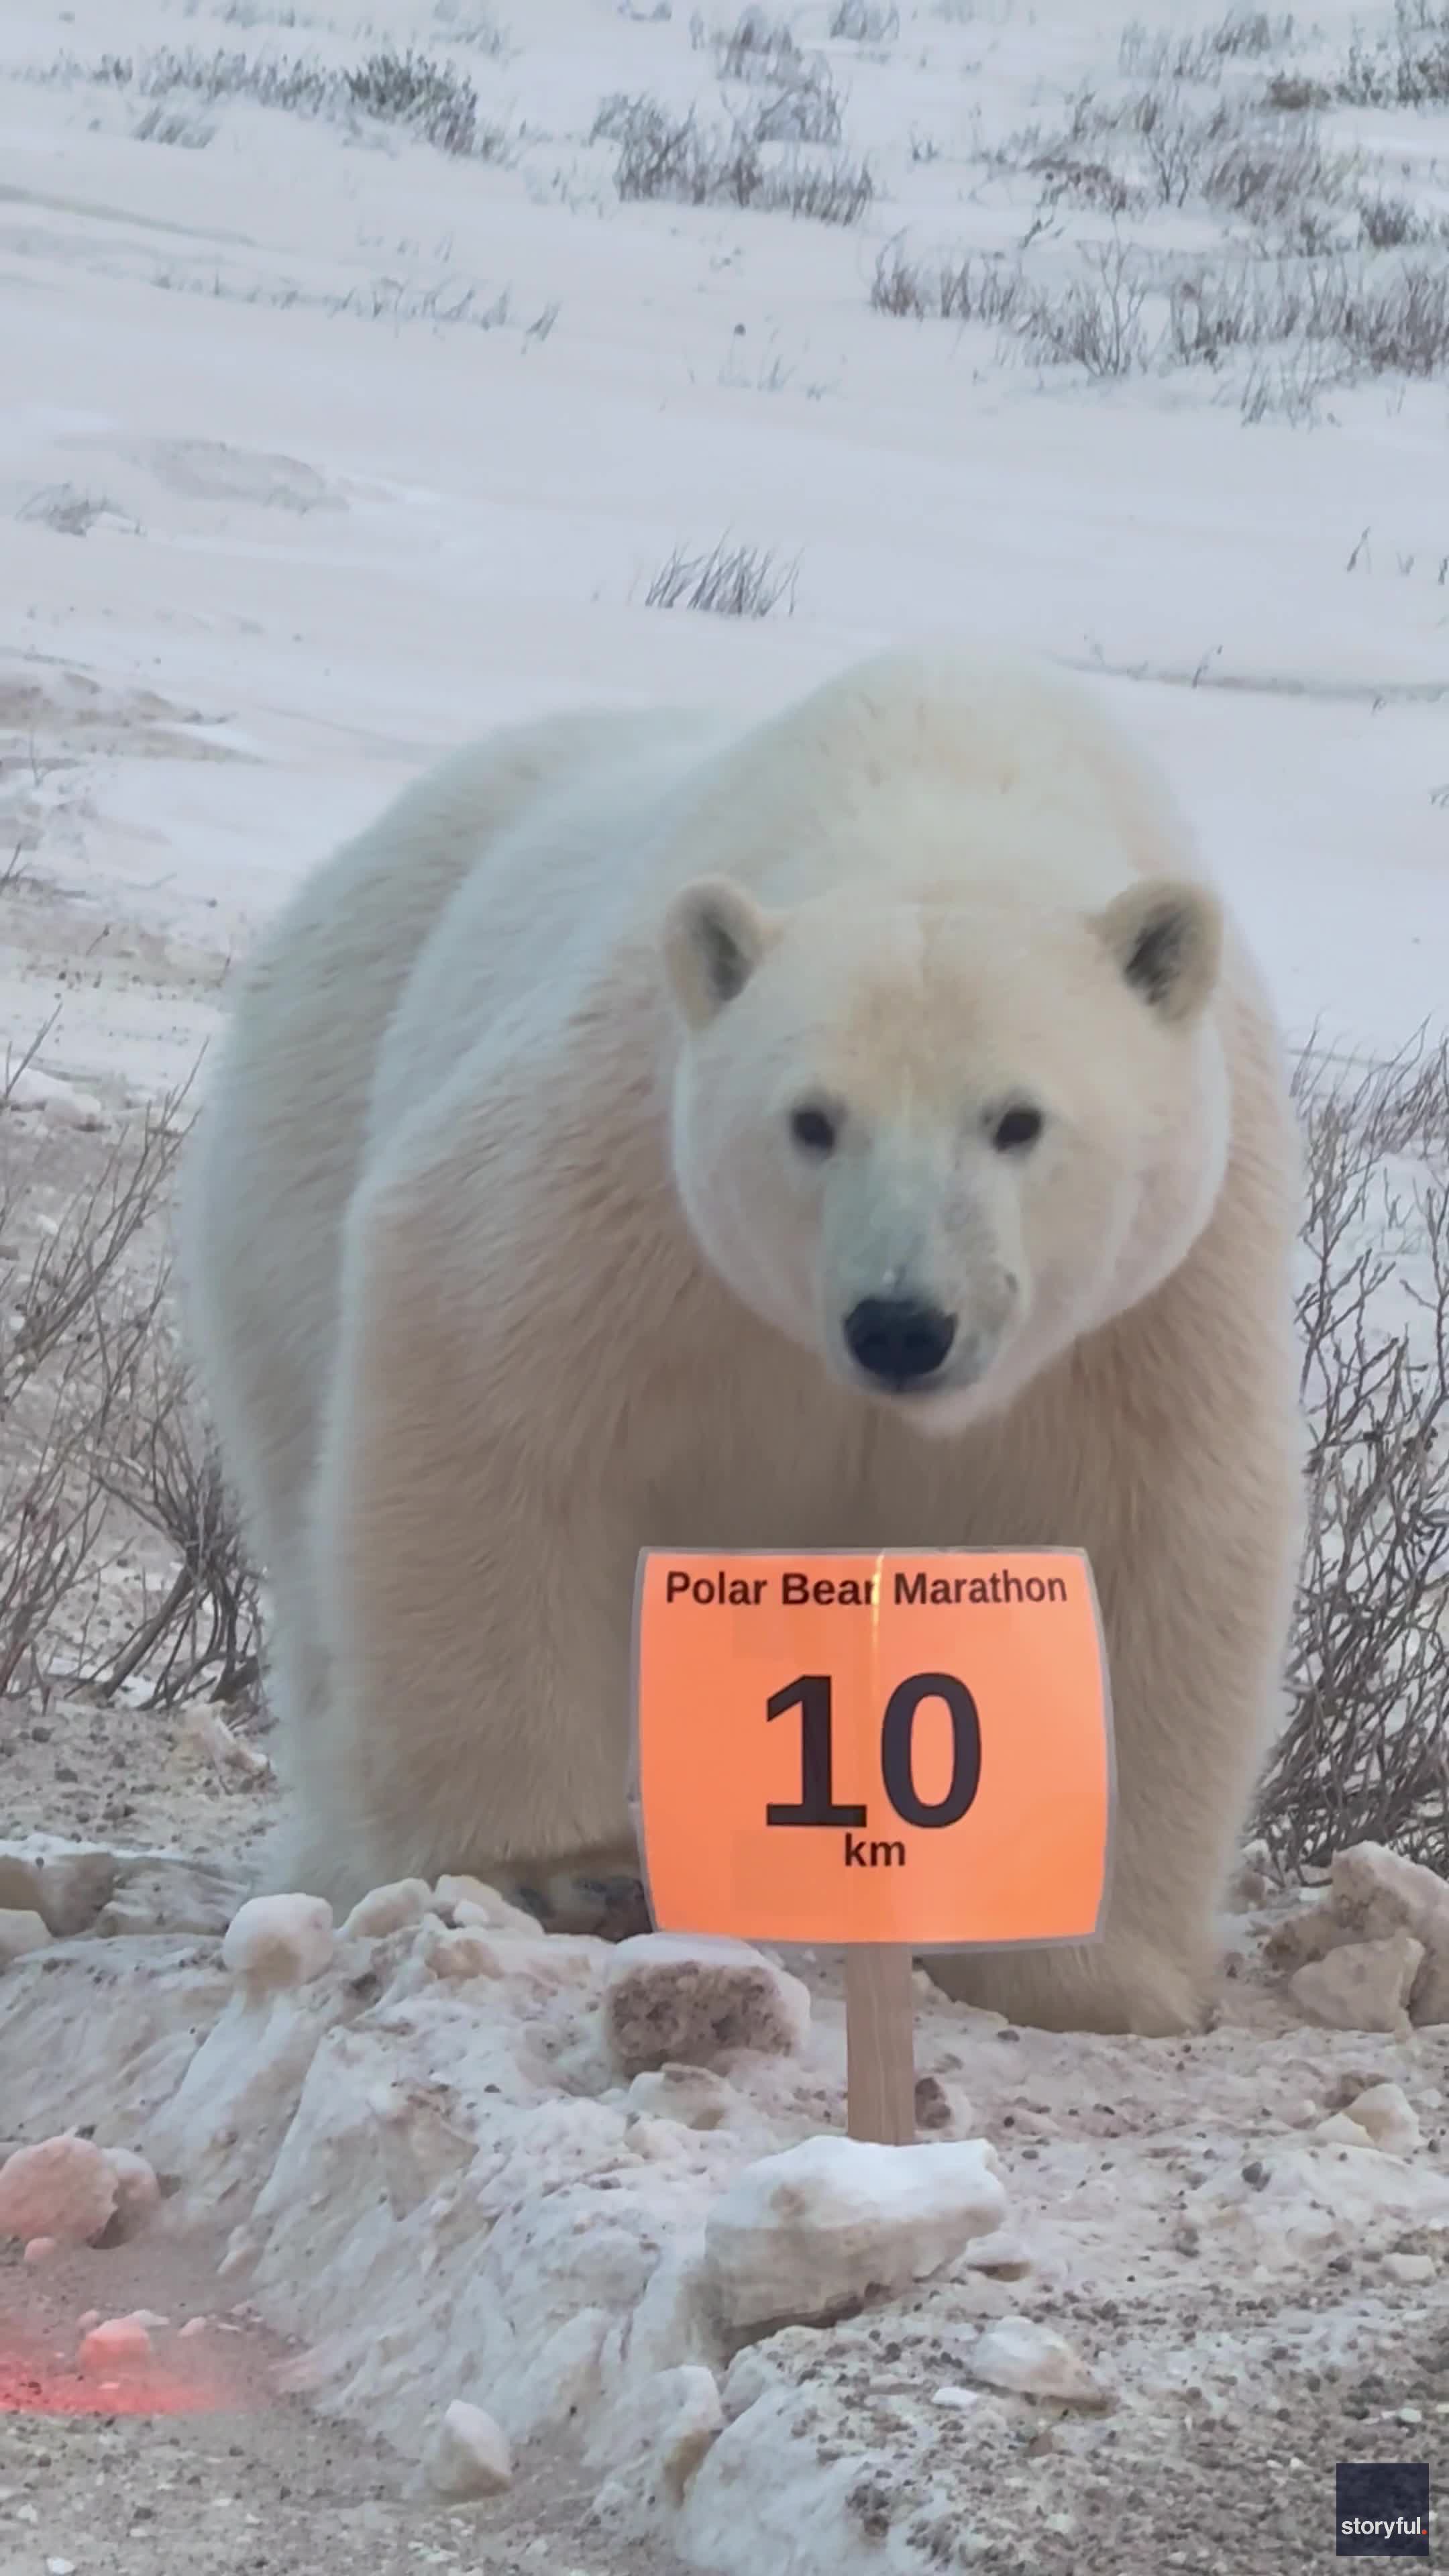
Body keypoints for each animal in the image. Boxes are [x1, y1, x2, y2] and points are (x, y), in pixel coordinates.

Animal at [176, 644, 1305, 2037]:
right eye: (813, 1119)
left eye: (1018, 1119)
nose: (902, 1322)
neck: (947, 791)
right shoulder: (630, 1175)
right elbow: (493, 1399)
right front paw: (554, 1871)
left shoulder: (1152, 1301)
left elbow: (1140, 1543)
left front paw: (1088, 1967)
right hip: (303, 1137)